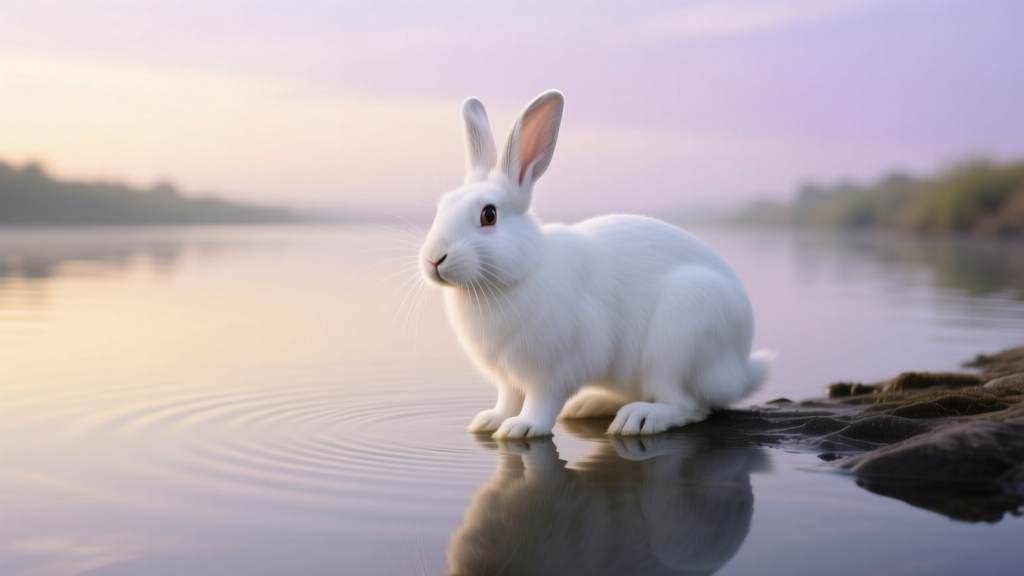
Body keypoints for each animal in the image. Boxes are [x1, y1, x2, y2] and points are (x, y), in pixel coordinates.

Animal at [419, 89, 773, 438]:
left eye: (489, 215)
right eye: (443, 206)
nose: (434, 258)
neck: (523, 271)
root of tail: (739, 371)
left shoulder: (555, 368)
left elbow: (541, 401)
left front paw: (522, 427)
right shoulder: (509, 378)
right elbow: (508, 399)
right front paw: (490, 420)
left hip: (680, 337)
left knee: (689, 406)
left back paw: (639, 418)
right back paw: (589, 404)